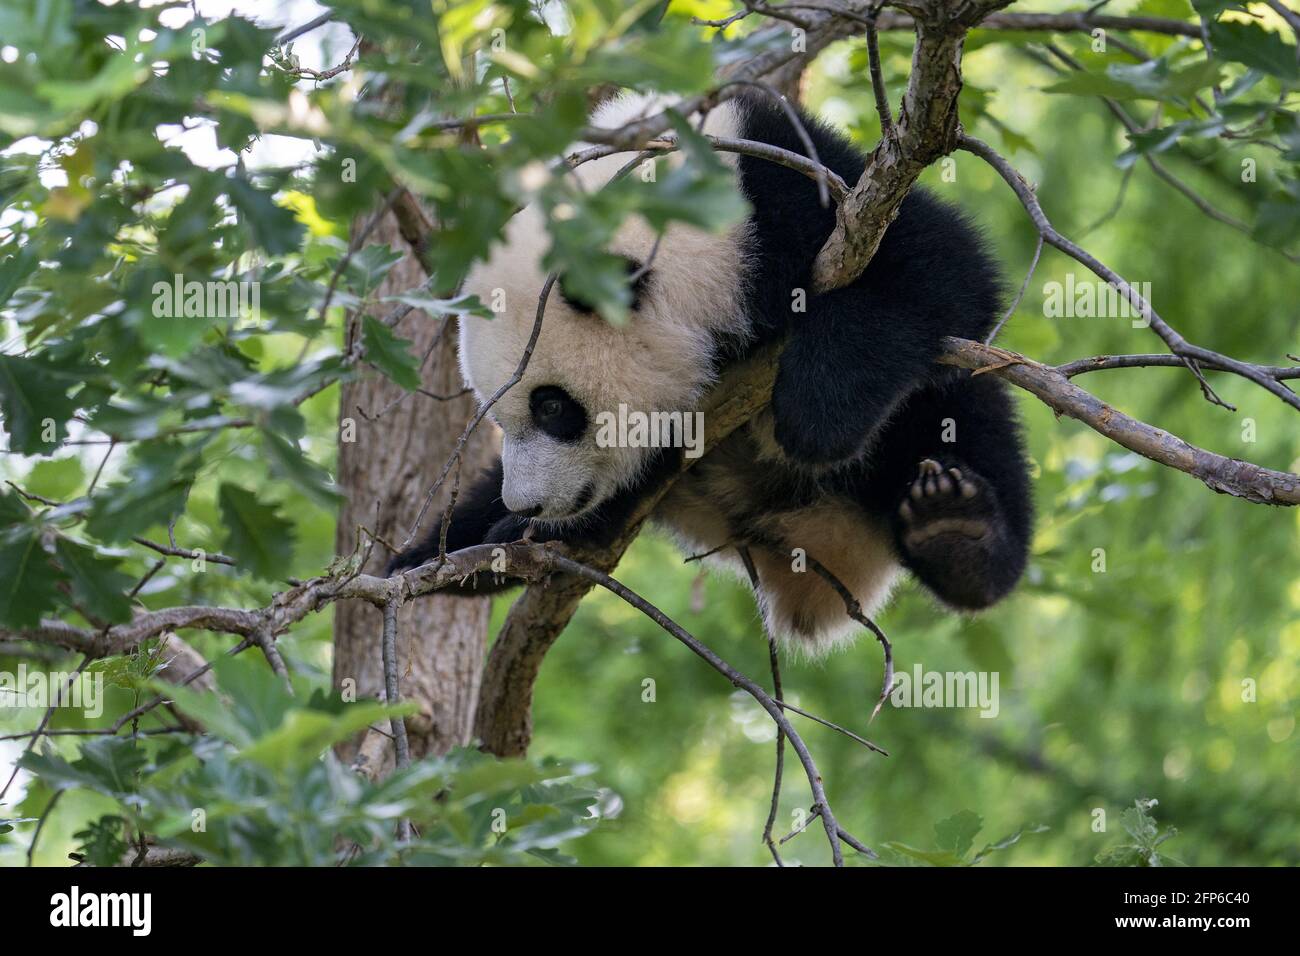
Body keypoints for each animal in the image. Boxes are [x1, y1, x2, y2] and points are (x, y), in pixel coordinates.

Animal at [388, 91, 1034, 655]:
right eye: (500, 414)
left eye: (552, 407)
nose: (527, 505)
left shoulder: (801, 189)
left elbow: (938, 269)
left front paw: (817, 417)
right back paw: (459, 554)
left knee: (962, 418)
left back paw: (959, 535)